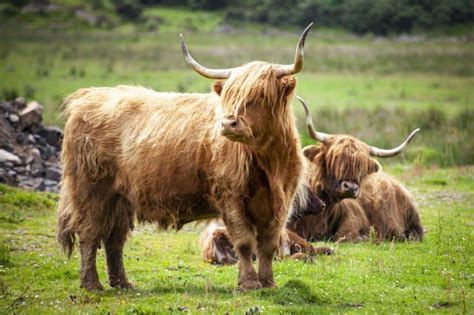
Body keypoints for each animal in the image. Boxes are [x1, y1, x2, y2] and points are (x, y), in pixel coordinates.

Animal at [56, 25, 314, 294]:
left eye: (261, 94)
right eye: (229, 95)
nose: (228, 123)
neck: (268, 163)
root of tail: (85, 97)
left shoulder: (280, 202)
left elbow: (268, 244)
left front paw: (269, 283)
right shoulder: (229, 195)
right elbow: (244, 241)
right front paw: (250, 283)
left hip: (119, 198)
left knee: (114, 238)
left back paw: (123, 283)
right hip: (91, 190)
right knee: (89, 233)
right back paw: (91, 284)